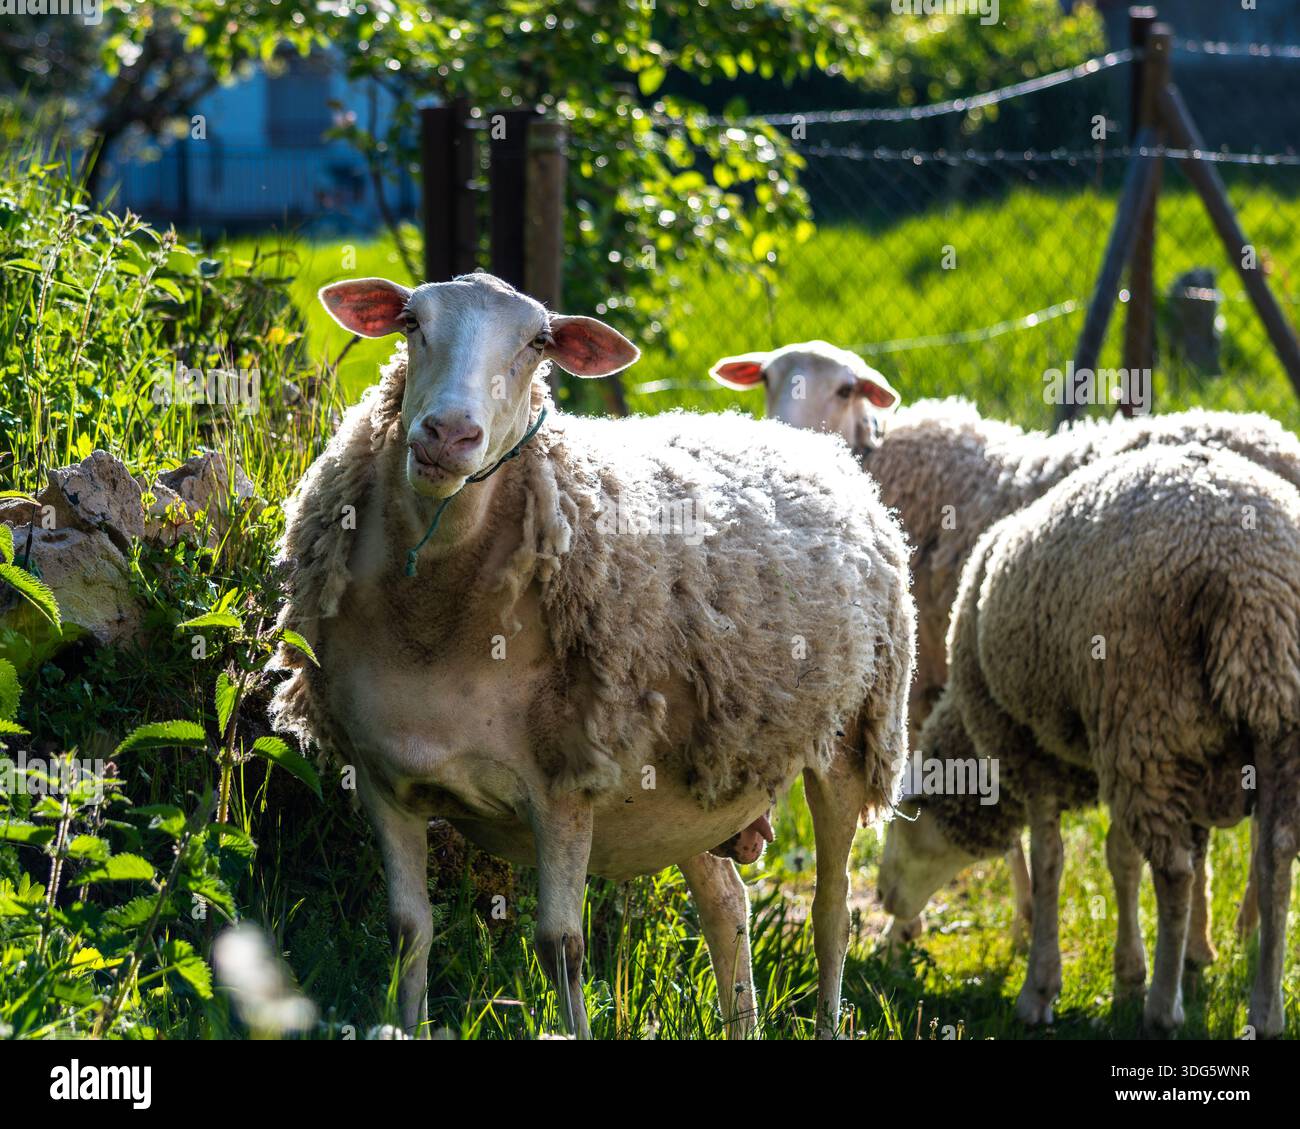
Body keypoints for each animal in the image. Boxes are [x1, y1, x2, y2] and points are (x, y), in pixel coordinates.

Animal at [270, 273, 916, 1039]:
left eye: (537, 343)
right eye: (410, 322)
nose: (448, 434)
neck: (434, 631)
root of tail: (812, 446)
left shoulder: (564, 785)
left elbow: (561, 947)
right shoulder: (383, 777)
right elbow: (408, 932)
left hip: (851, 739)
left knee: (831, 914)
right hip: (694, 787)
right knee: (728, 906)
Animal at [888, 443, 1300, 1035]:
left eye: (898, 827)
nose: (883, 900)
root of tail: (1251, 577)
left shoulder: (1029, 750)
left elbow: (1050, 864)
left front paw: (1040, 991)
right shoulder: (1141, 753)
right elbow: (1123, 859)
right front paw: (1134, 974)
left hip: (1146, 712)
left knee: (1175, 872)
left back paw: (1164, 1011)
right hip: (1267, 723)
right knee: (1276, 859)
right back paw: (1265, 1011)